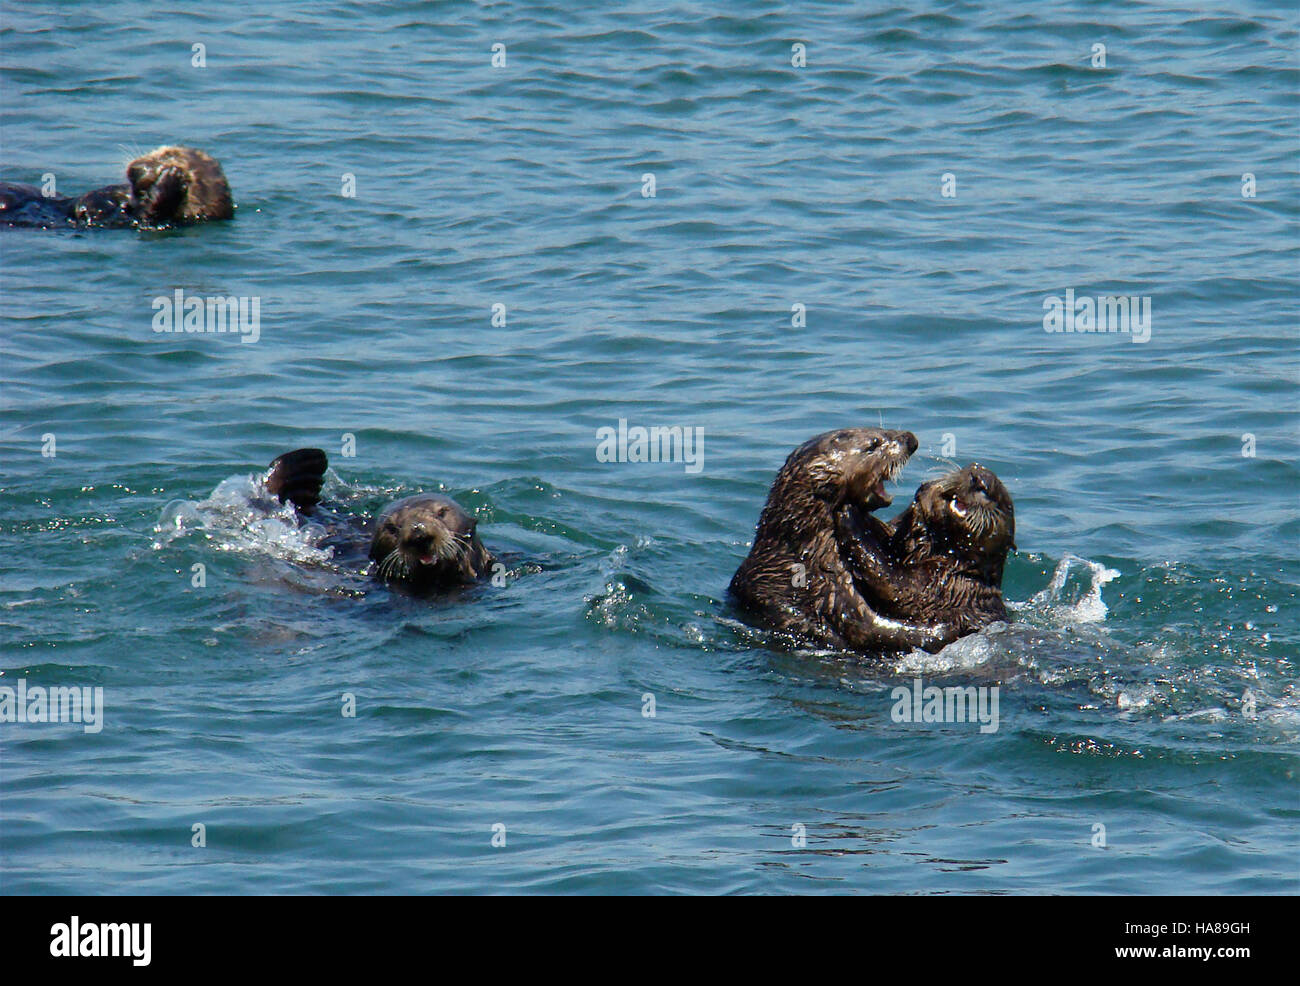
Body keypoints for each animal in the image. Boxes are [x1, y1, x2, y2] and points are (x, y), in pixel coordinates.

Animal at [728, 428, 954, 655]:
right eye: (873, 444)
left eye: (881, 429)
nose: (910, 439)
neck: (811, 550)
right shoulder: (828, 589)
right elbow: (872, 627)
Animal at [836, 463, 1015, 650]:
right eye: (971, 468)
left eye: (1002, 502)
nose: (980, 481)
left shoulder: (947, 586)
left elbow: (896, 582)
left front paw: (849, 513)